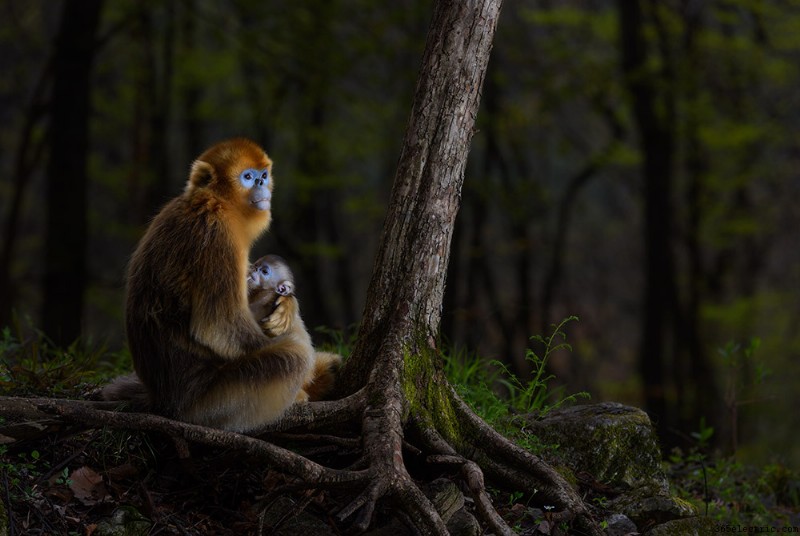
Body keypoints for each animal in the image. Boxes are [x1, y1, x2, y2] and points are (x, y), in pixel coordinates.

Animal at [104, 137, 318, 432]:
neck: (214, 200)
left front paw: (287, 304)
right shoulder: (218, 234)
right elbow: (217, 326)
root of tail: (161, 399)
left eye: (263, 175)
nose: (261, 183)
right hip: (211, 401)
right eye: (247, 177)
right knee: (293, 359)